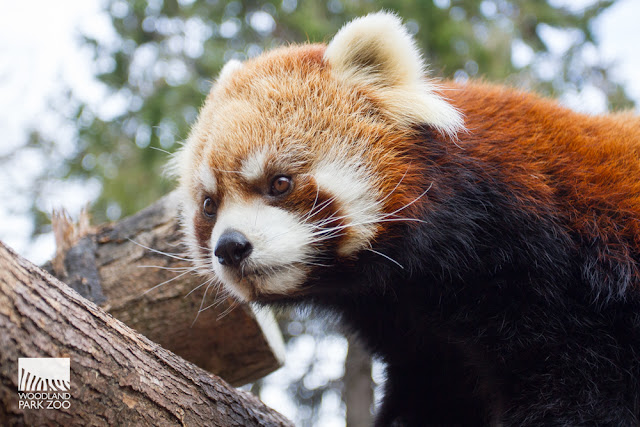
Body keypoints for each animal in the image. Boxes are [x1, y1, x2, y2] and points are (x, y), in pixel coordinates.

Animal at [172, 12, 640, 425]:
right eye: (210, 205)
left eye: (280, 183)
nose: (230, 247)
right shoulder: (421, 338)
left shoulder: (571, 293)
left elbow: (582, 395)